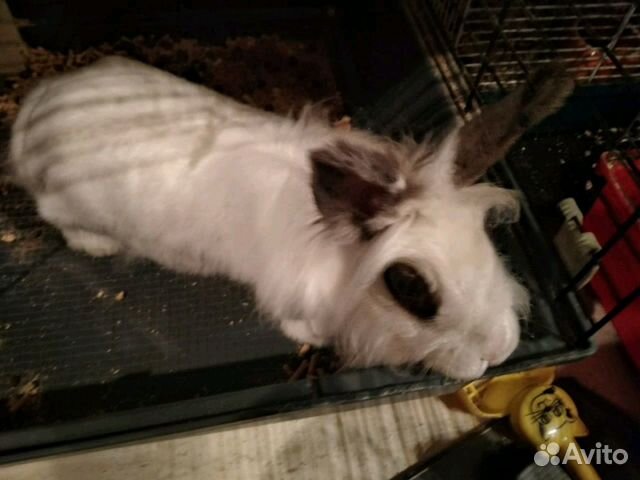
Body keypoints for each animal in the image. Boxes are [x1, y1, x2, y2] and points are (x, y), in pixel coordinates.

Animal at [9, 56, 574, 379]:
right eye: (410, 288)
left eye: (488, 244)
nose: (498, 353)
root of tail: (33, 112)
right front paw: (314, 339)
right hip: (67, 204)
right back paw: (97, 244)